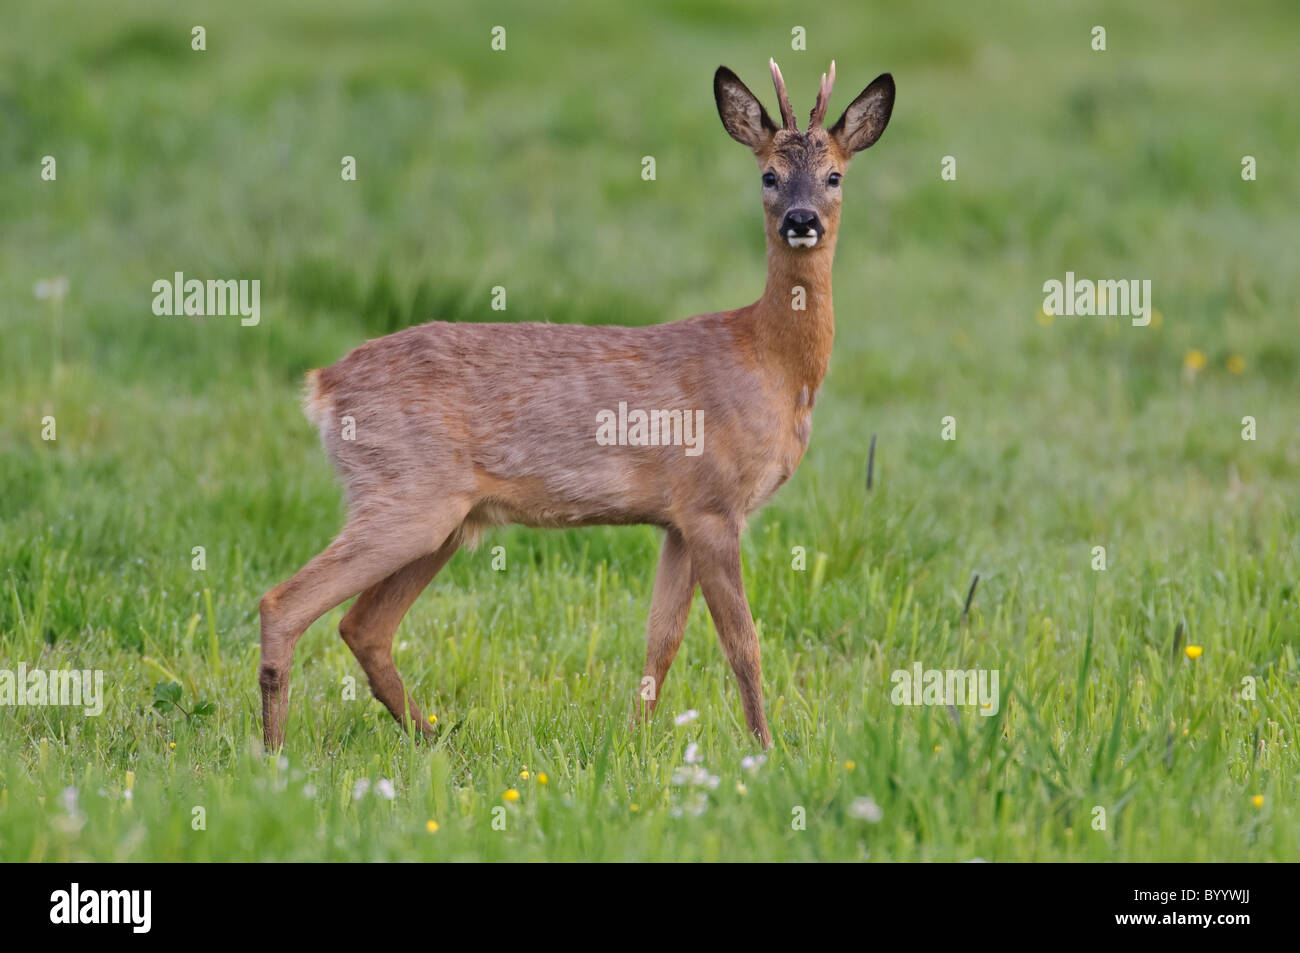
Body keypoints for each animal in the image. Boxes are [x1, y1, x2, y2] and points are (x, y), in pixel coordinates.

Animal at [258, 60, 894, 751]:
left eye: (835, 175)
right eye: (768, 175)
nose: (801, 220)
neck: (770, 362)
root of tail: (323, 385)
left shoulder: (677, 519)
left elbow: (660, 642)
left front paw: (638, 743)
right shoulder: (713, 505)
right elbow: (743, 645)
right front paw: (765, 750)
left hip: (444, 519)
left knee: (363, 626)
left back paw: (434, 735)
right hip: (405, 495)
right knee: (285, 603)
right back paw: (276, 751)